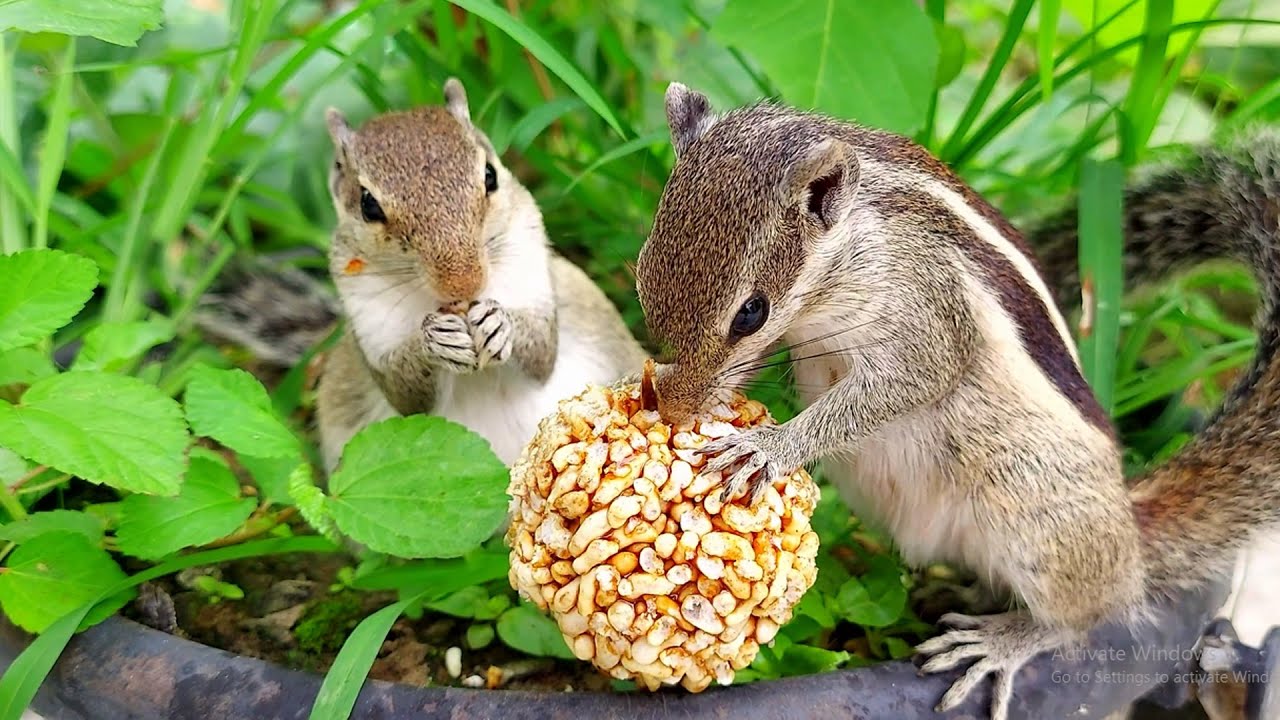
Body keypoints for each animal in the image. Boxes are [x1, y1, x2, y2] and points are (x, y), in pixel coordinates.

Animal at [199, 78, 644, 473]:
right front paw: (435, 340)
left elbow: (542, 356)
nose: (464, 284)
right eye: (368, 205)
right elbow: (407, 397)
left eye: (490, 176)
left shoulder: (531, 271)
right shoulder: (369, 319)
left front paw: (499, 322)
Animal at [634, 82, 1279, 720]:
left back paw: (1000, 641)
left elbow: (902, 385)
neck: (853, 244)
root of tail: (1131, 542)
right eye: (640, 271)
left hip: (1039, 522)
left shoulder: (928, 316)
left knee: (1081, 619)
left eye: (752, 312)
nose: (674, 411)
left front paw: (768, 448)